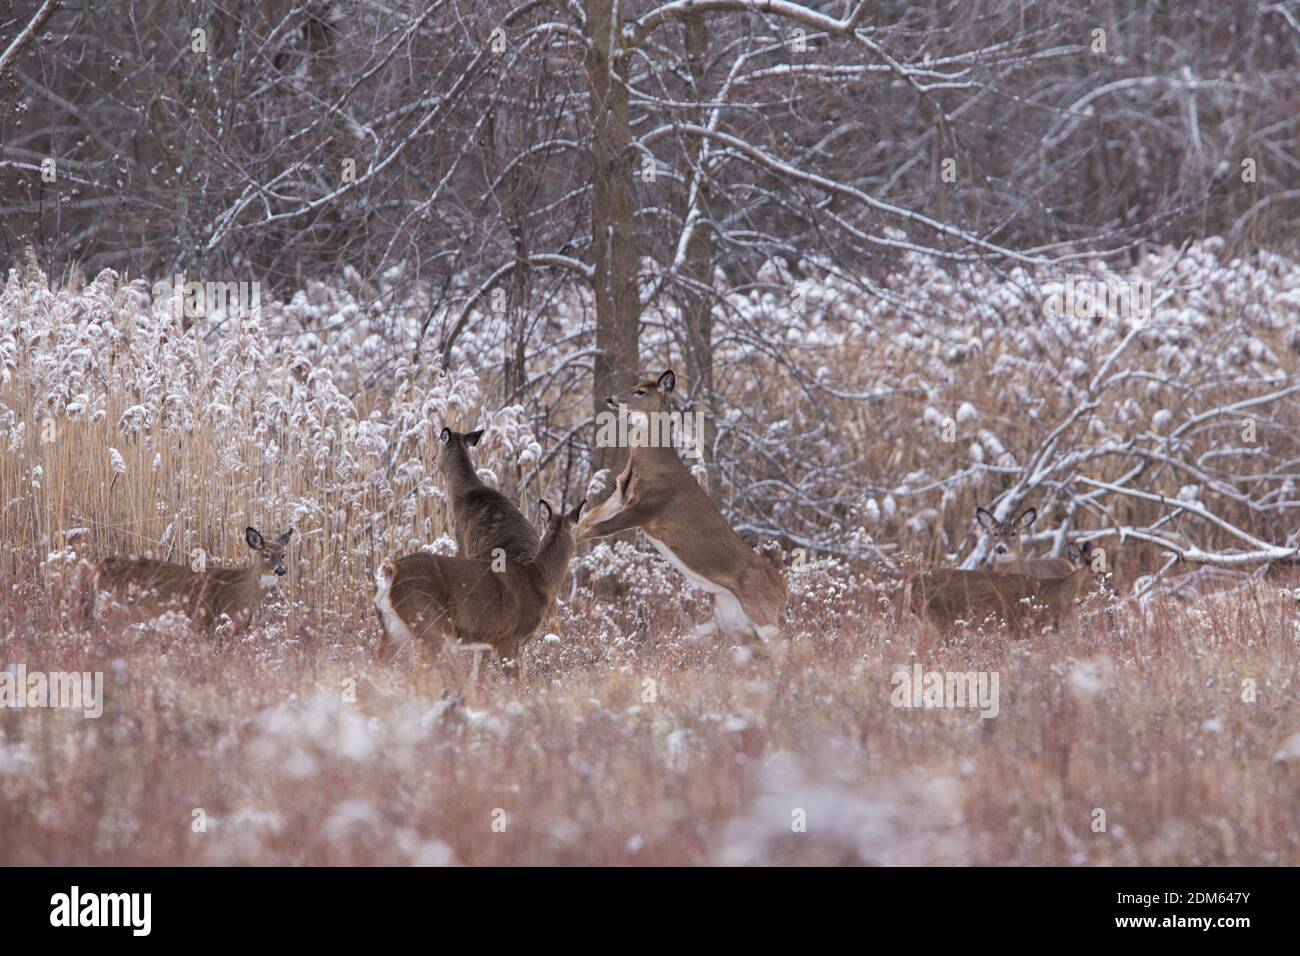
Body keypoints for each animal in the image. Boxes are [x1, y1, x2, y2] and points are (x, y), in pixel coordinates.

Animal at [83, 527, 294, 635]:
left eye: (283, 554)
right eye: (266, 554)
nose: (280, 570)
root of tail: (98, 568)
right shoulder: (204, 621)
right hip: (116, 610)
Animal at [373, 499, 585, 678]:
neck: (538, 581)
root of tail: (392, 571)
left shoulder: (485, 641)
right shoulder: (509, 636)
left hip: (395, 626)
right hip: (427, 620)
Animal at [575, 370, 787, 646]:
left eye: (640, 391)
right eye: (634, 384)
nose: (610, 398)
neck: (654, 464)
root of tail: (784, 590)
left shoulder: (647, 507)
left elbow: (597, 529)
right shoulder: (621, 495)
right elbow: (590, 517)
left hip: (761, 608)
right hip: (729, 615)